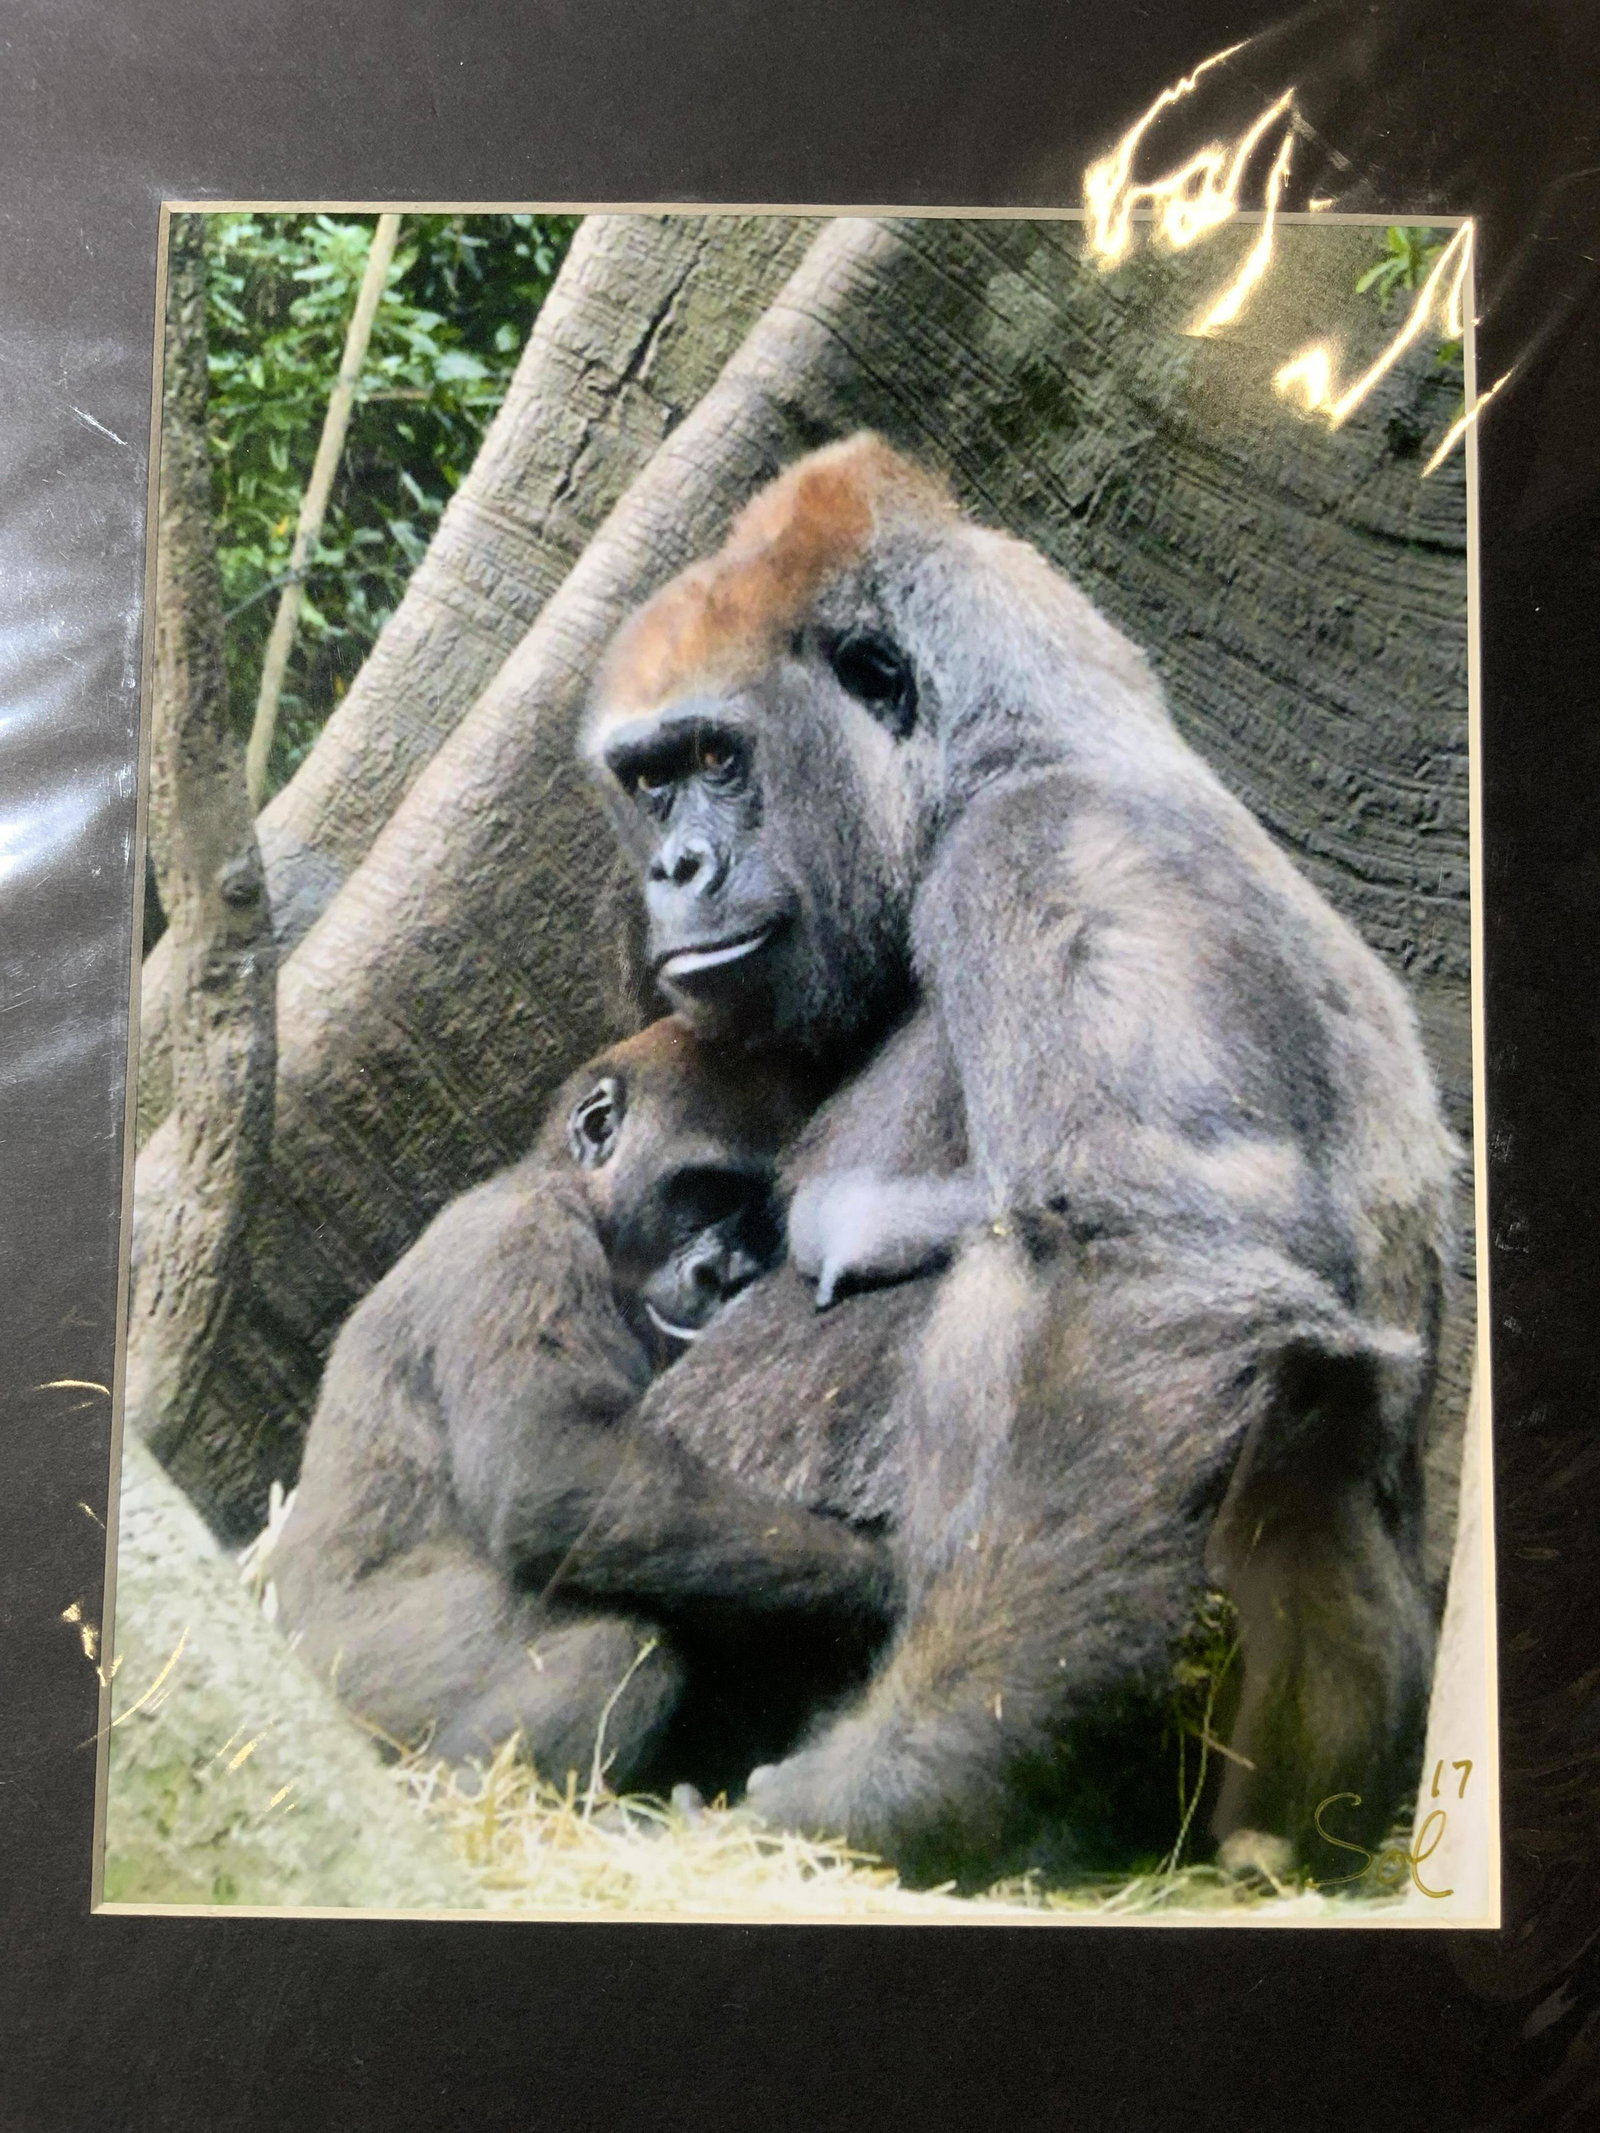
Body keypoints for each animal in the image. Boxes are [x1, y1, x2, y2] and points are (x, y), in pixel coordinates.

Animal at [269, 1016, 899, 1791]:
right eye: (707, 1192)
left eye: (766, 1220)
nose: (720, 1274)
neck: (560, 1182)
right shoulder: (530, 1241)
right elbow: (549, 1465)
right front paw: (887, 1578)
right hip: (360, 1678)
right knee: (618, 1645)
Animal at [580, 433, 1458, 1888]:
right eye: (650, 781)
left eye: (716, 755)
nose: (673, 866)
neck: (1001, 750)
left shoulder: (1055, 847)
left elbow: (1143, 1269)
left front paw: (895, 1786)